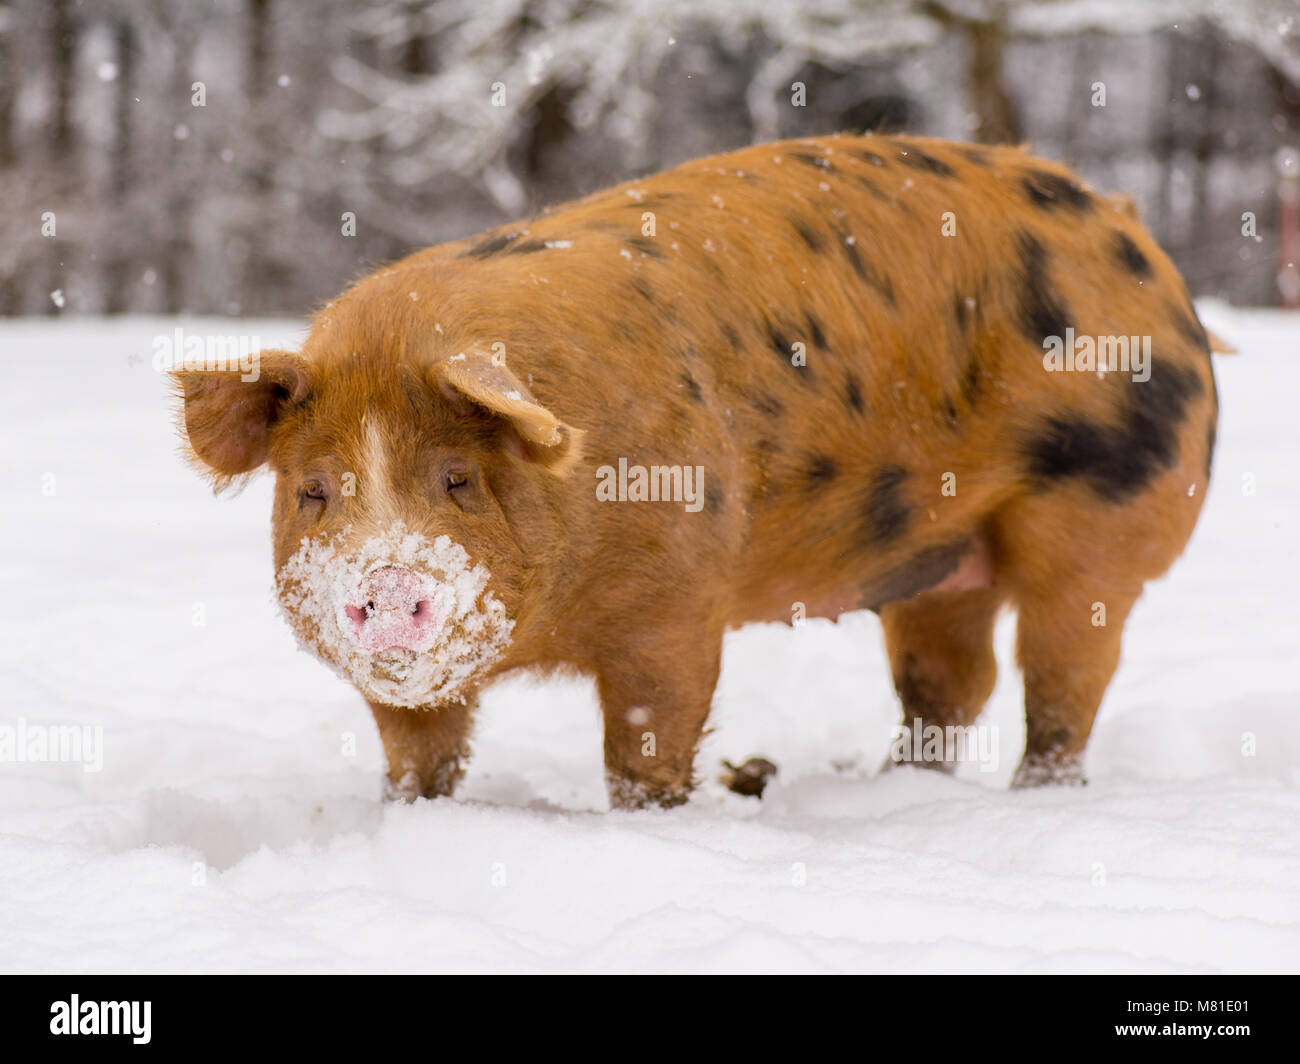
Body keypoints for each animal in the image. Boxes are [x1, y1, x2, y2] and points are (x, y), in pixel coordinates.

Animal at [175, 133, 1220, 807]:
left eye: (459, 479)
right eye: (313, 491)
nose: (388, 586)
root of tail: (1146, 254)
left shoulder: (676, 599)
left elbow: (650, 730)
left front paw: (653, 818)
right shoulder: (405, 687)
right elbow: (419, 751)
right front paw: (412, 815)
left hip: (1105, 516)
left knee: (1064, 676)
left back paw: (1038, 795)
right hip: (936, 560)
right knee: (952, 678)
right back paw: (895, 789)